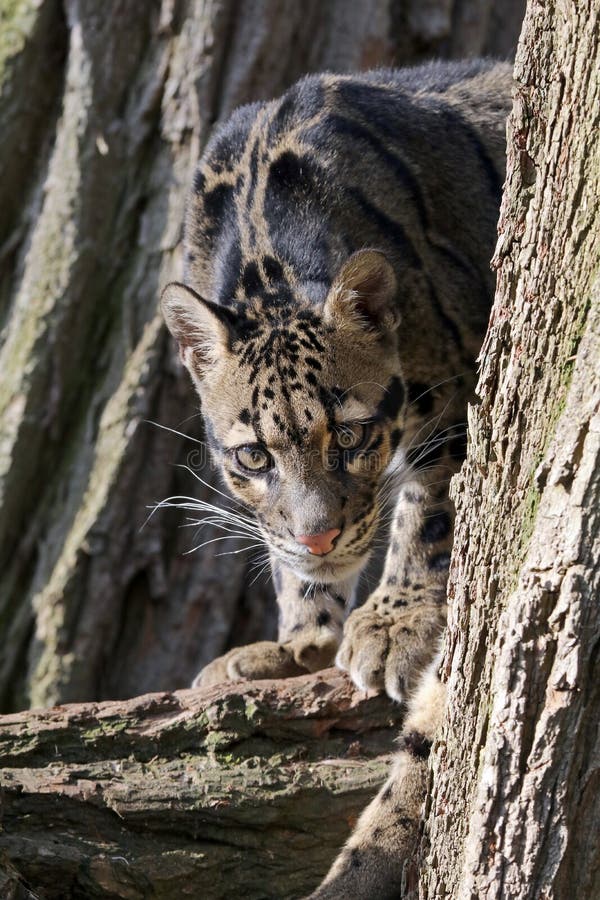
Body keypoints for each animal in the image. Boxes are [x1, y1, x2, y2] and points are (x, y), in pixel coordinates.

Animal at [161, 58, 511, 899]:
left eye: (350, 436)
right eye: (253, 457)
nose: (321, 536)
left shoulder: (455, 389)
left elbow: (432, 507)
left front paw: (392, 624)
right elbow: (285, 560)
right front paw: (301, 640)